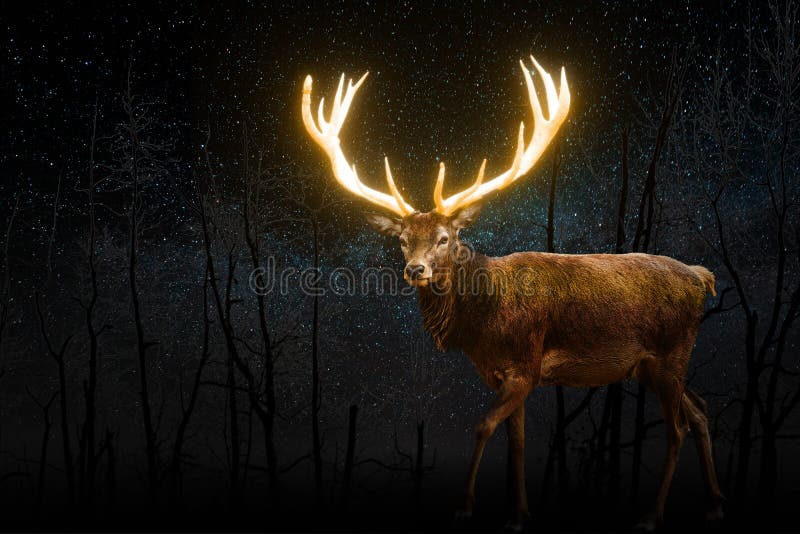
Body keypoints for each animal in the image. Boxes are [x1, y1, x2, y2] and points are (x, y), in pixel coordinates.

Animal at [300, 57, 724, 531]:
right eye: (403, 240)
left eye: (446, 237)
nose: (415, 269)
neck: (483, 325)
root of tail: (701, 277)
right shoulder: (510, 375)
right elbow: (517, 440)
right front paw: (519, 513)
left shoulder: (525, 365)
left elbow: (483, 425)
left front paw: (465, 505)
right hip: (654, 366)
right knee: (700, 410)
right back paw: (714, 504)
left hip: (671, 354)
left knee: (678, 427)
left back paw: (652, 515)